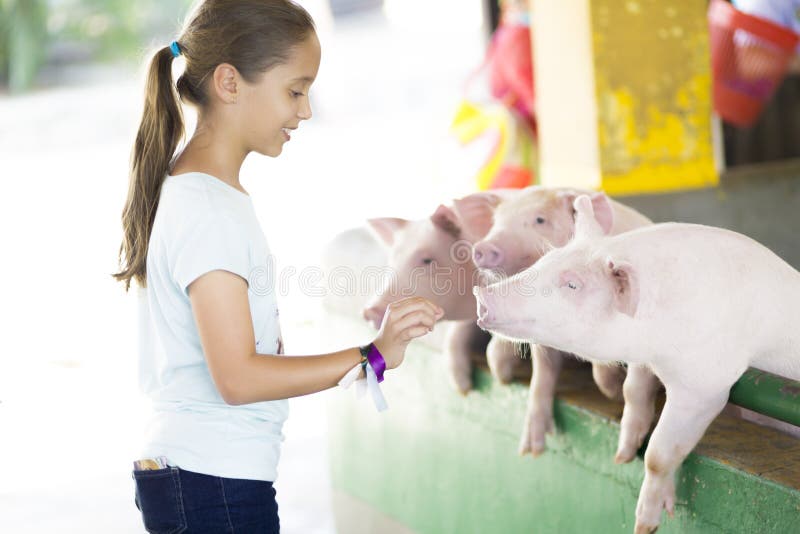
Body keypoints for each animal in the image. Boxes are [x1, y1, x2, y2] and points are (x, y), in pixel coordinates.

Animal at [363, 194, 530, 394]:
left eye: (427, 260)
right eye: (392, 260)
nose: (369, 311)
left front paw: (502, 380)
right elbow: (455, 335)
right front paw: (464, 390)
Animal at [455, 186, 659, 459]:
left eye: (540, 219)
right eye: (496, 221)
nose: (484, 246)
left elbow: (633, 385)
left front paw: (623, 453)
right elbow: (542, 374)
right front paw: (531, 449)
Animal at [474, 194, 800, 533]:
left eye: (573, 285)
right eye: (544, 261)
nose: (482, 294)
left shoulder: (706, 384)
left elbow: (659, 453)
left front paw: (645, 524)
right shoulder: (647, 361)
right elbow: (633, 390)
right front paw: (623, 454)